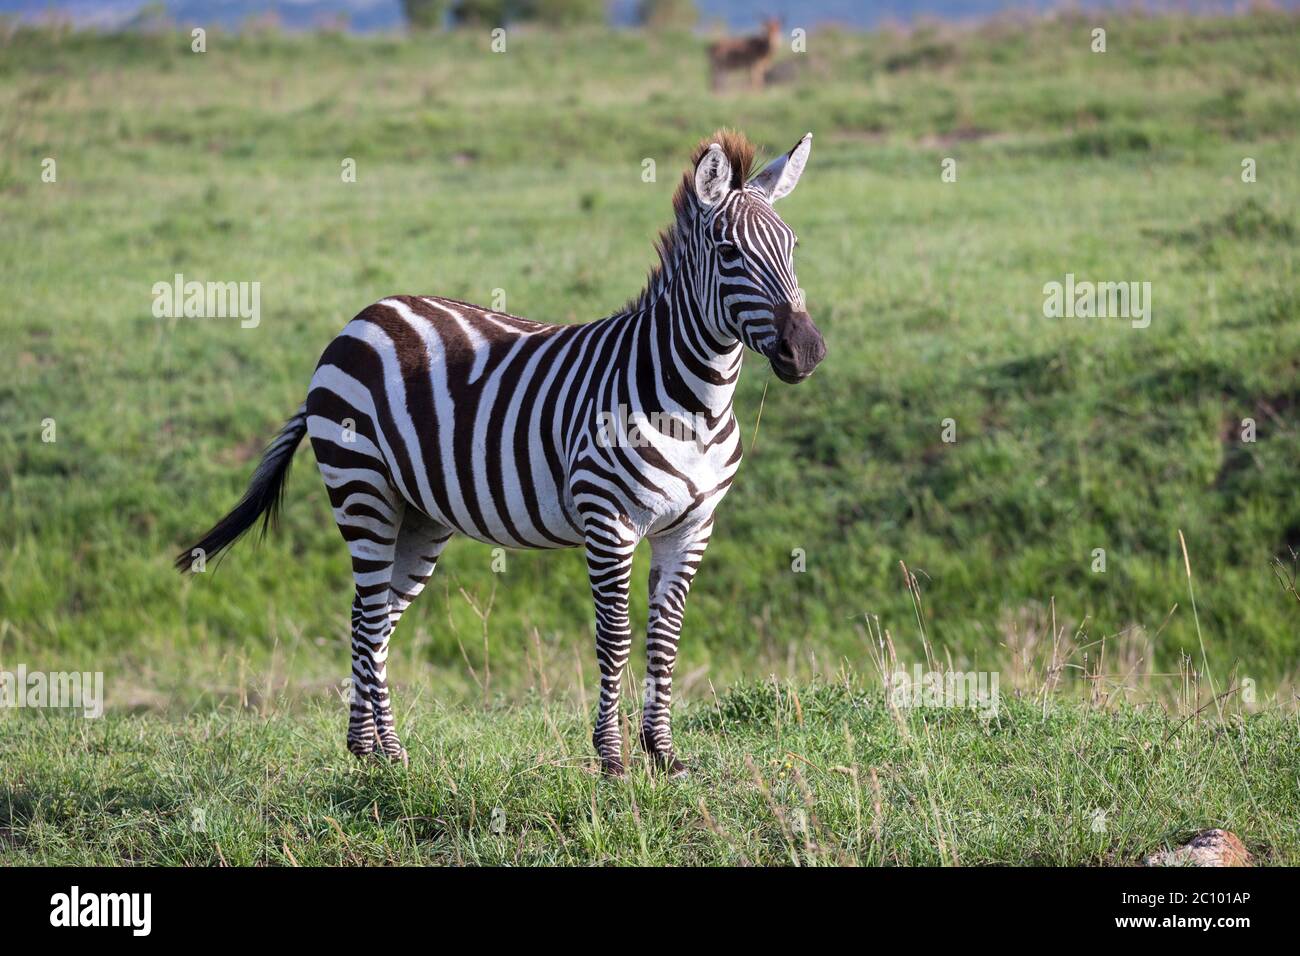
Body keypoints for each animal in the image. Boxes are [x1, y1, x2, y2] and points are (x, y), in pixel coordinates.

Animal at [177, 130, 826, 776]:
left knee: (372, 617)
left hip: (418, 516)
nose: (807, 350)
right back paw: (390, 753)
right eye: (728, 253)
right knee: (369, 616)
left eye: (794, 246)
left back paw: (367, 750)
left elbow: (664, 642)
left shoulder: (692, 528)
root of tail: (362, 317)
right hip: (362, 489)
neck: (696, 408)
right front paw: (612, 758)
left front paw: (664, 755)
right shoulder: (608, 520)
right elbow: (614, 639)